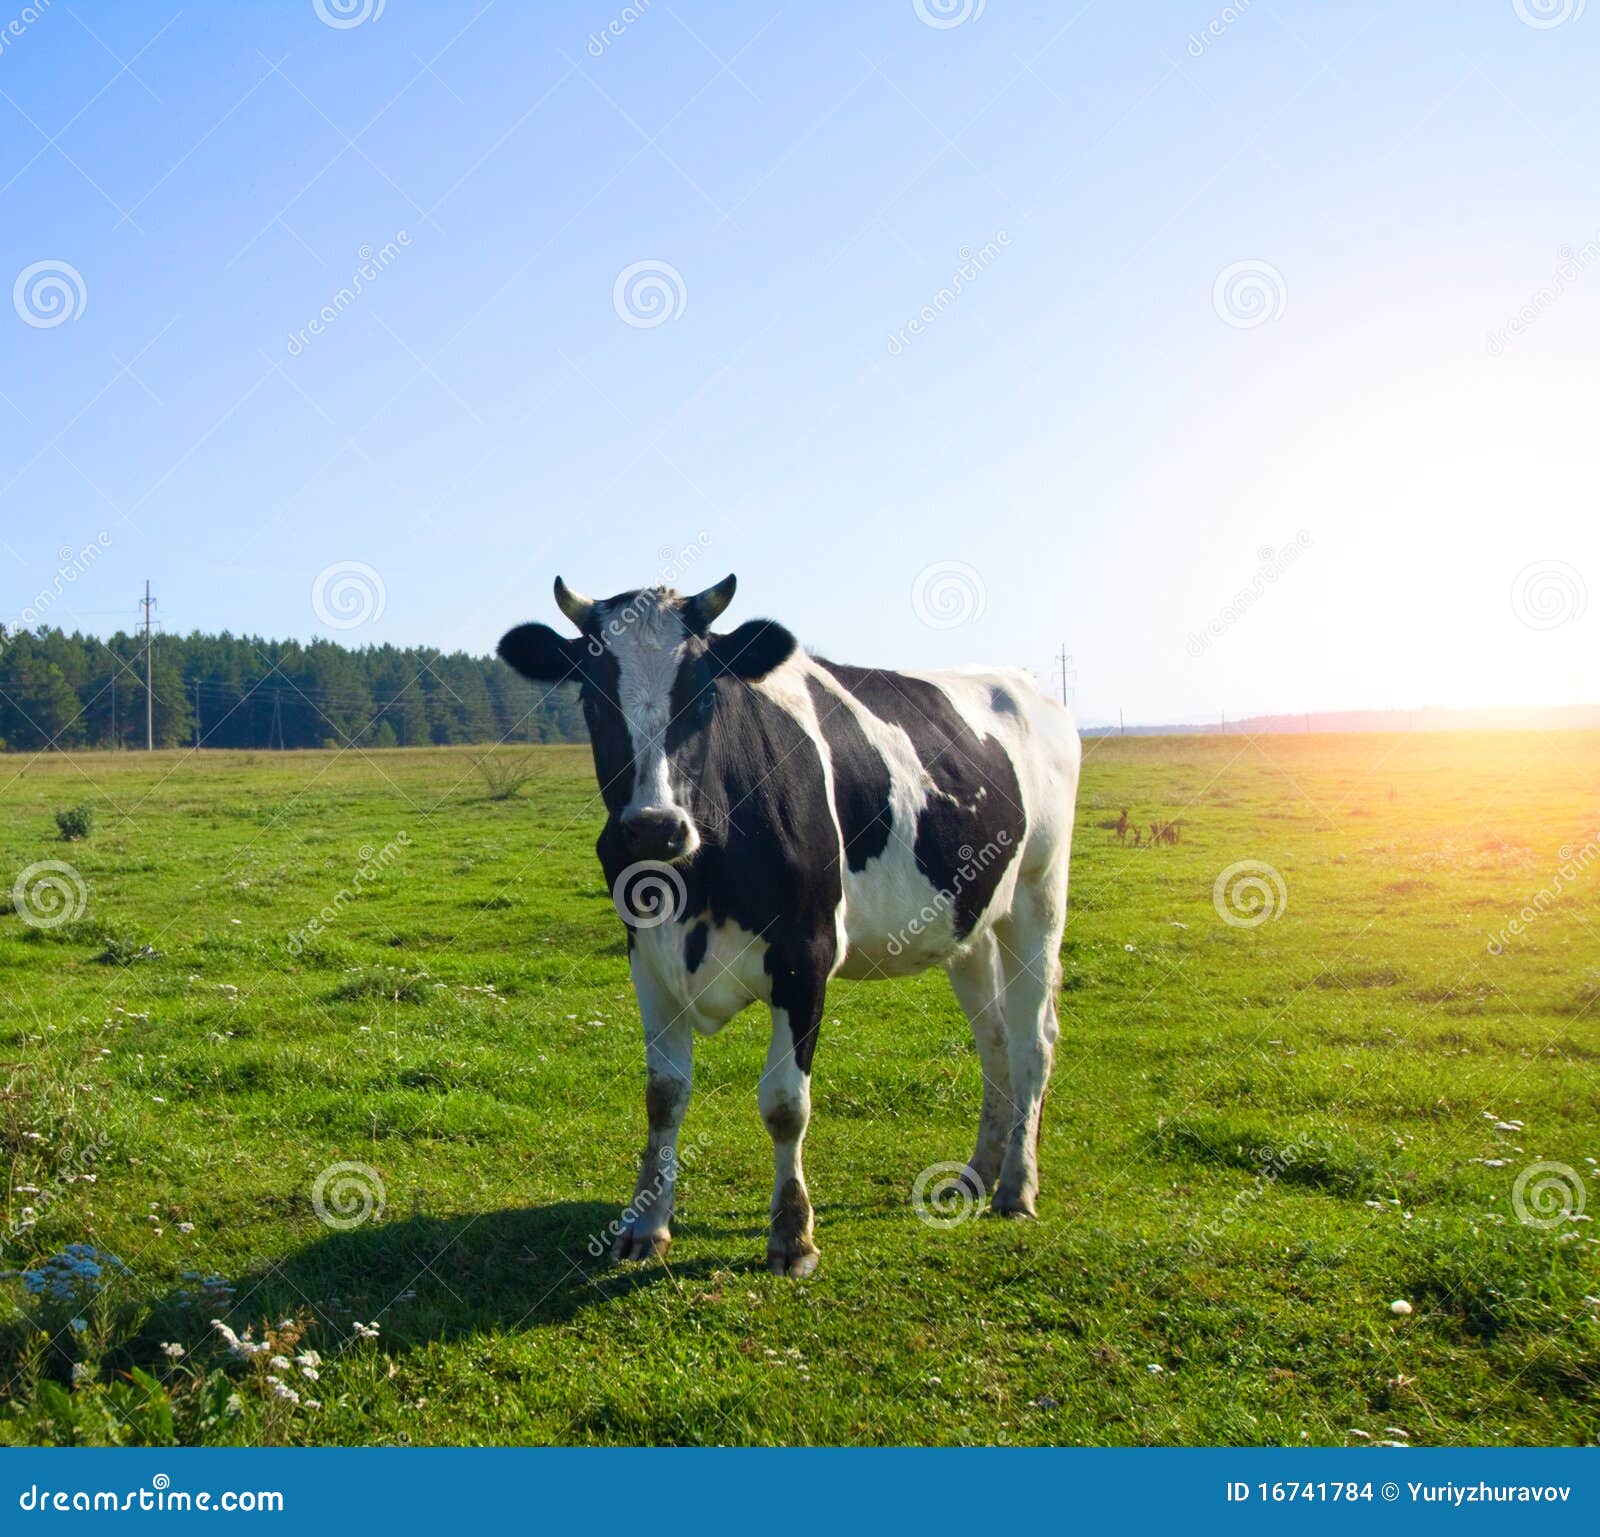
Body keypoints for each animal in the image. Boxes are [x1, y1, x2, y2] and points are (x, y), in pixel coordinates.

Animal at [498, 574, 1080, 1276]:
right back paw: (977, 1173)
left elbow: (784, 1103)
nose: (654, 829)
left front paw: (792, 1234)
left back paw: (1017, 1186)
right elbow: (664, 1093)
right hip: (967, 923)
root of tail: (1018, 680)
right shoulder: (647, 957)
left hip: (1038, 895)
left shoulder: (807, 956)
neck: (699, 878)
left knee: (1031, 1041)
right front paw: (646, 1225)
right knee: (993, 1039)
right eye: (591, 695)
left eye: (706, 695)